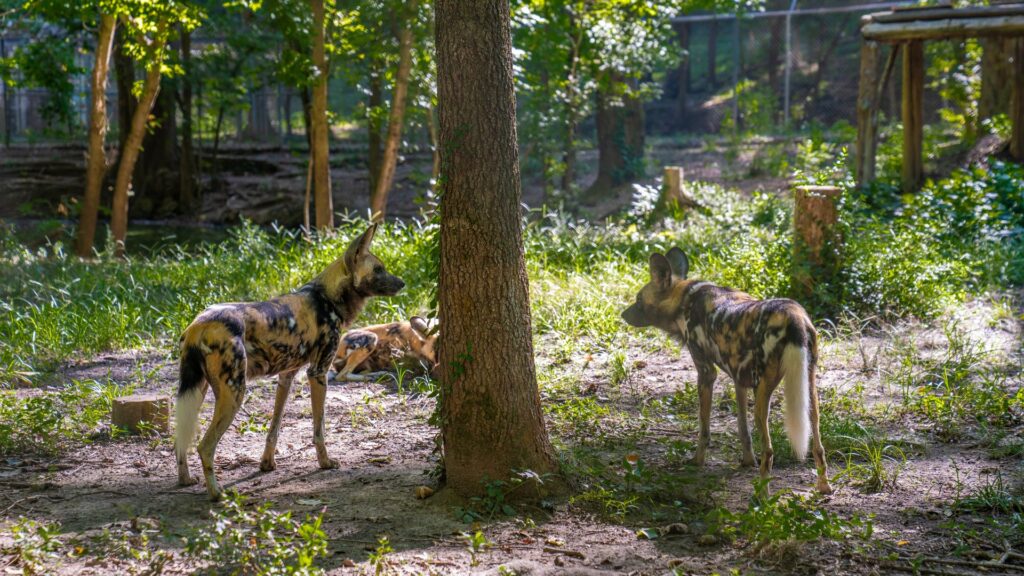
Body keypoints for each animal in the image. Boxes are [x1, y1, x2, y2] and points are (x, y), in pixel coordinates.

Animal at [174, 224, 405, 500]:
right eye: (378, 269)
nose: (402, 282)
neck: (327, 298)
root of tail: (198, 326)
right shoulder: (317, 373)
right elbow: (319, 429)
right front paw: (325, 463)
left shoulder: (286, 376)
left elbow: (274, 427)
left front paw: (267, 464)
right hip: (233, 393)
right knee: (204, 446)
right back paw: (217, 494)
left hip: (197, 391)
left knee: (180, 438)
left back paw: (185, 480)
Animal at [621, 247, 832, 494]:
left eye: (638, 300)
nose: (623, 314)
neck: (684, 300)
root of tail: (793, 316)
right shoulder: (739, 379)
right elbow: (743, 430)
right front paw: (747, 461)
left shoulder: (706, 373)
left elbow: (704, 428)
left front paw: (697, 461)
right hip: (808, 389)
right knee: (817, 444)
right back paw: (824, 487)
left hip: (763, 393)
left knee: (769, 450)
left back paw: (763, 496)